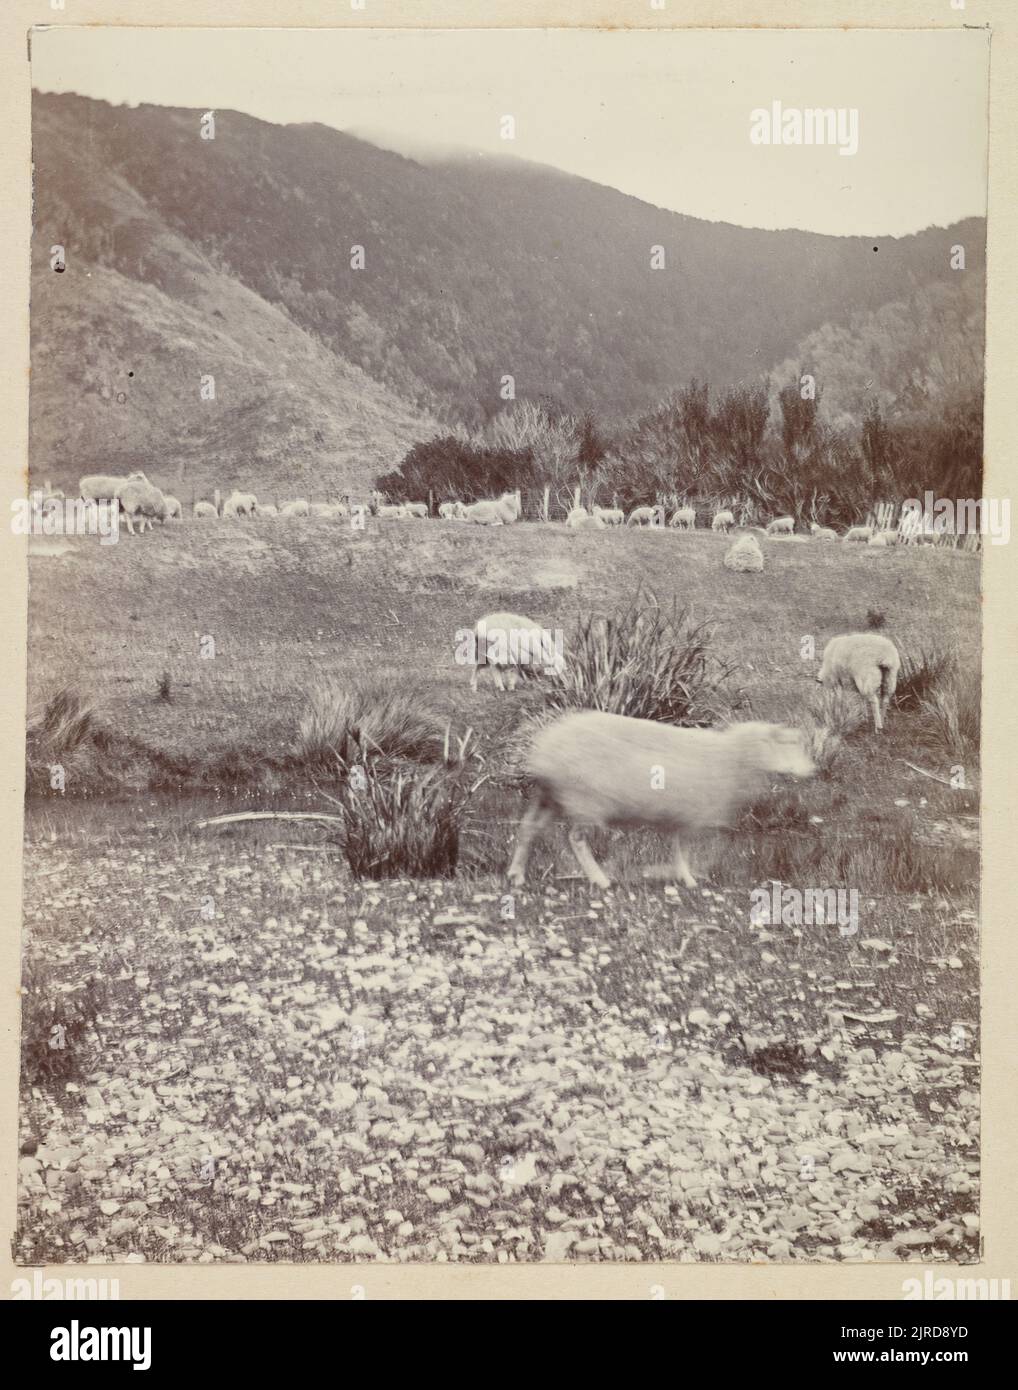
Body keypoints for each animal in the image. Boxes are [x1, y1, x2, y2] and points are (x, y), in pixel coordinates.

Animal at [507, 713, 815, 889]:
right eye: (786, 746)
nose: (812, 770)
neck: (732, 758)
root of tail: (543, 749)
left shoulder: (683, 816)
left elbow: (677, 847)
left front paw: (680, 875)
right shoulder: (691, 815)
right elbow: (682, 849)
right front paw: (688, 880)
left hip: (550, 796)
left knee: (528, 829)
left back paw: (516, 874)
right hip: (585, 801)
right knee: (576, 839)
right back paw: (600, 879)